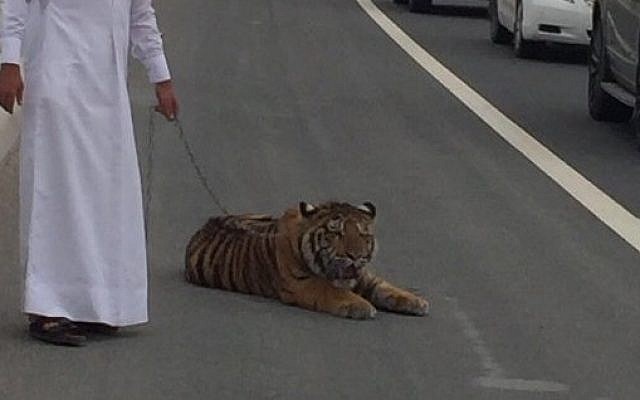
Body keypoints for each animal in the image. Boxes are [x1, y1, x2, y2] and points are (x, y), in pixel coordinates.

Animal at [184, 201, 429, 319]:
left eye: (363, 234)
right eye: (337, 233)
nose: (356, 256)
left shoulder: (364, 277)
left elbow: (387, 287)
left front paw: (416, 301)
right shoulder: (302, 283)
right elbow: (332, 291)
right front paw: (361, 306)